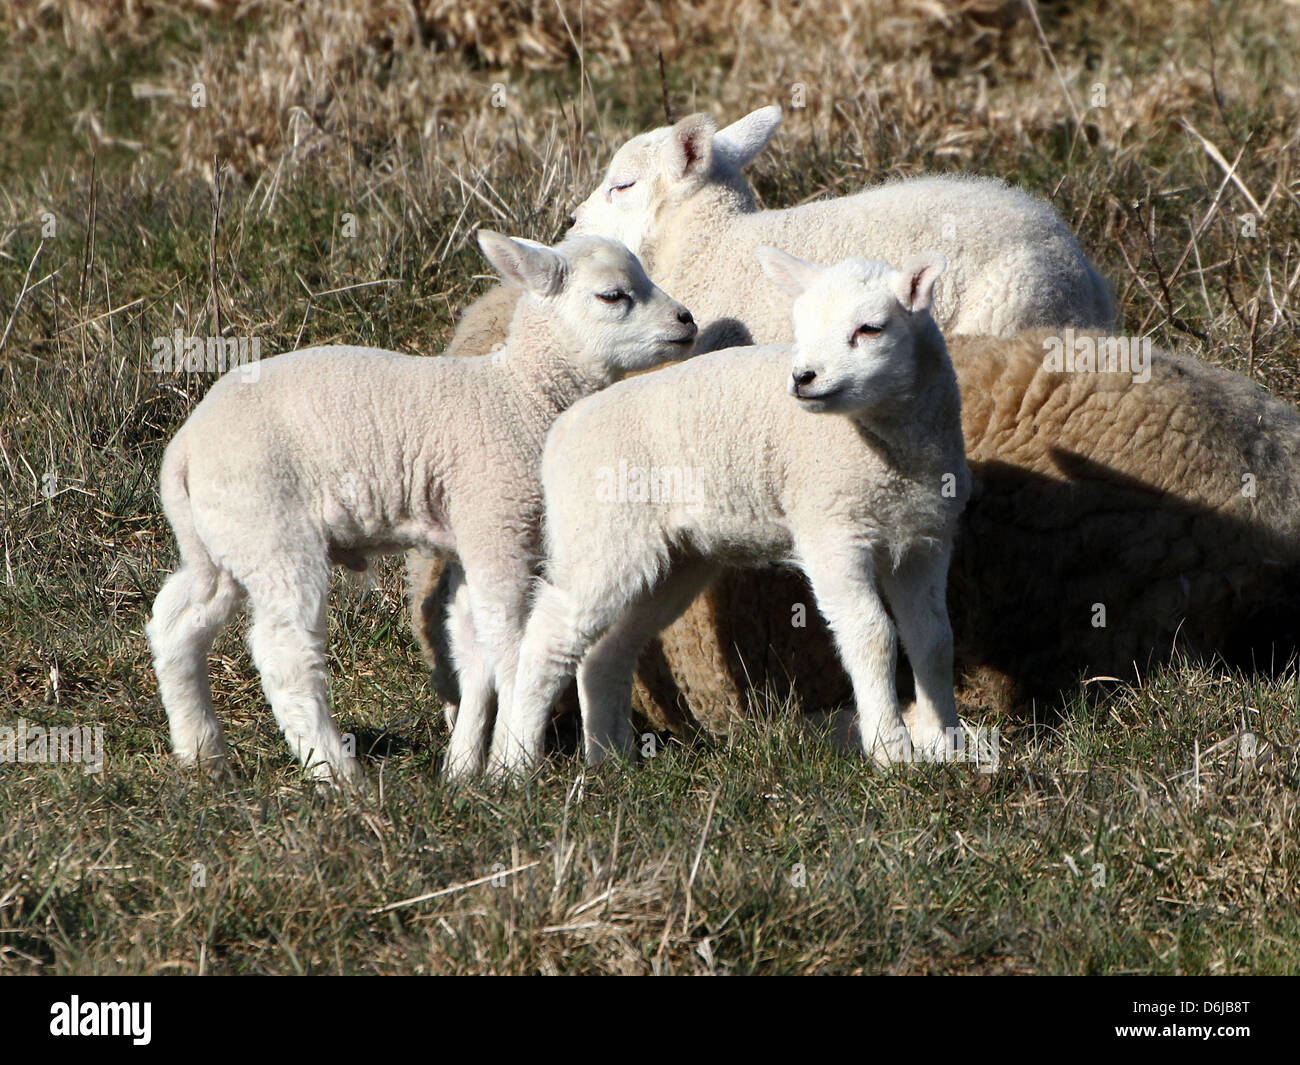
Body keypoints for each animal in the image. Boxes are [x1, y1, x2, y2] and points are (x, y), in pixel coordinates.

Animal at [146, 231, 697, 784]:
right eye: (613, 296)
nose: (686, 322)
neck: (521, 393)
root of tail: (184, 449)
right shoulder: (496, 523)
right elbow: (509, 641)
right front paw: (512, 753)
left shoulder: (472, 538)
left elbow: (472, 645)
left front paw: (464, 767)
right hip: (271, 528)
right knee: (285, 653)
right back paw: (337, 773)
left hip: (222, 540)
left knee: (177, 622)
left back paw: (201, 754)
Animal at [490, 248, 970, 775]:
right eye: (799, 325)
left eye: (871, 329)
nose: (803, 378)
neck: (893, 454)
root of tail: (562, 430)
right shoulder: (833, 534)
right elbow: (873, 637)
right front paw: (892, 752)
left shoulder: (925, 540)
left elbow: (933, 639)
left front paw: (946, 748)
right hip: (599, 534)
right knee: (548, 638)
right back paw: (513, 765)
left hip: (670, 561)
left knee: (606, 651)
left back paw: (609, 763)